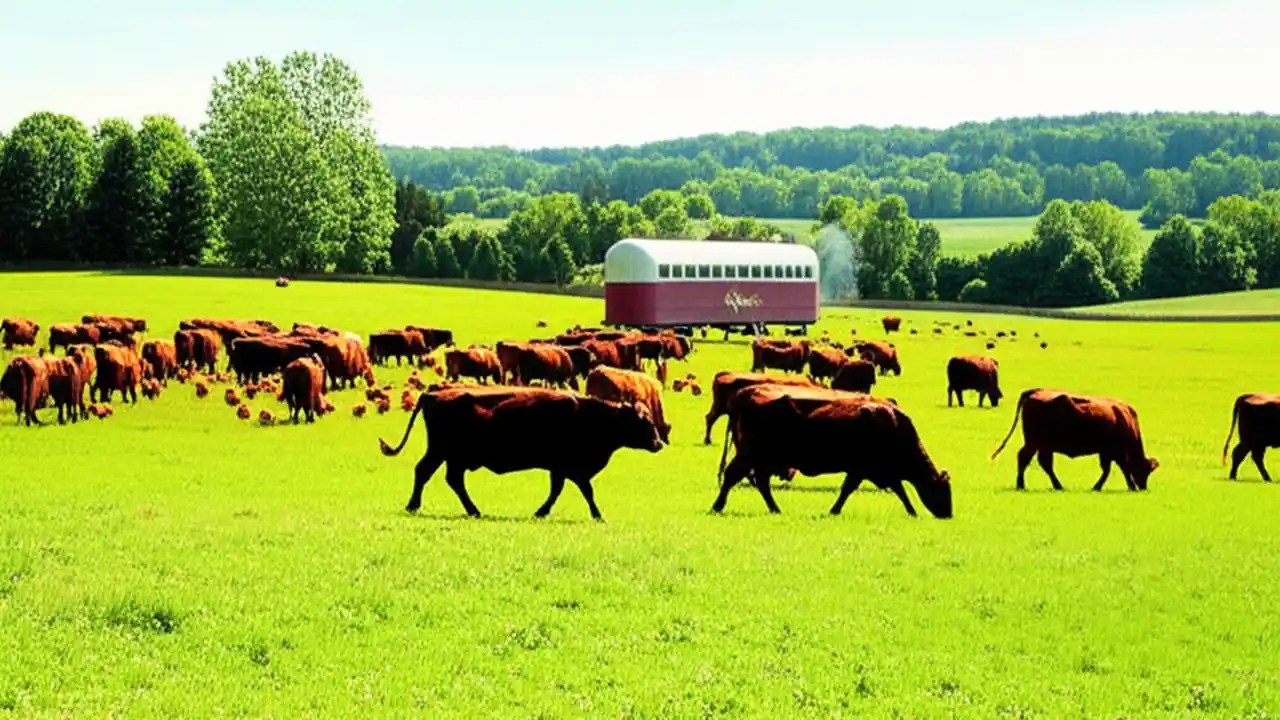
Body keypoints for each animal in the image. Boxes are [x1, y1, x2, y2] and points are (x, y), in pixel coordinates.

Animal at [378, 386, 664, 519]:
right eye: (644, 422)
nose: (659, 443)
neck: (591, 416)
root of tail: (434, 393)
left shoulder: (560, 469)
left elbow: (561, 490)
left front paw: (543, 512)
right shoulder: (567, 467)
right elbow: (583, 491)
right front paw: (597, 515)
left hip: (450, 456)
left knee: (449, 479)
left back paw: (470, 510)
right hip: (443, 452)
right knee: (426, 472)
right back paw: (417, 506)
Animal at [712, 384, 952, 518]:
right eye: (943, 491)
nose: (948, 514)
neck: (893, 424)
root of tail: (745, 393)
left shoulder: (879, 472)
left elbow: (900, 491)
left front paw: (912, 511)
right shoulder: (861, 469)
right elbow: (848, 489)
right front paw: (834, 510)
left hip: (762, 460)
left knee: (760, 482)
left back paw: (775, 509)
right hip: (750, 455)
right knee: (732, 476)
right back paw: (717, 506)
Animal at [990, 388, 1159, 492]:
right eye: (1146, 470)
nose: (1143, 487)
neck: (1126, 418)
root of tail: (1035, 392)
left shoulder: (1106, 452)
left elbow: (1108, 469)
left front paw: (1097, 487)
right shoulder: (1116, 452)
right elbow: (1121, 468)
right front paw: (1130, 486)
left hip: (1043, 445)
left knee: (1044, 463)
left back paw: (1057, 486)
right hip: (1034, 443)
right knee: (1025, 458)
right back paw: (1022, 485)